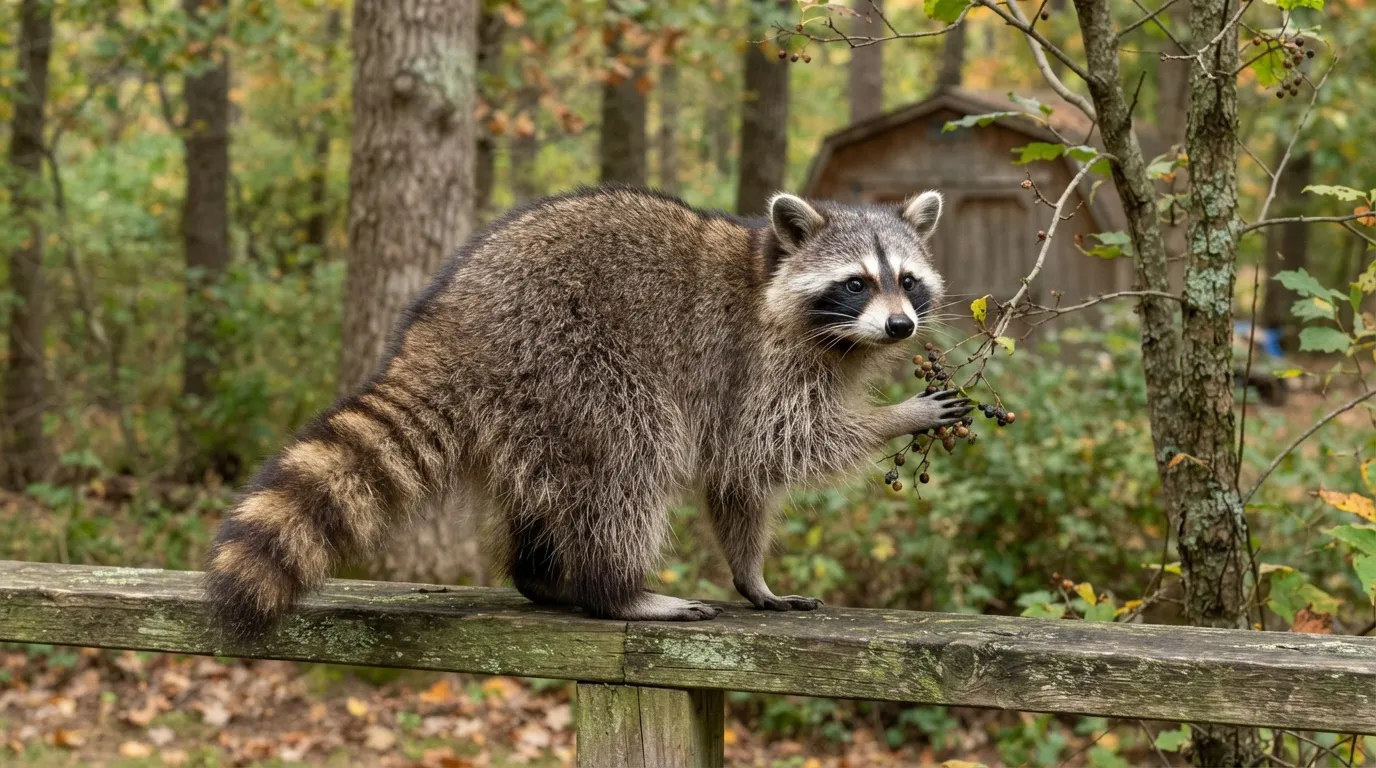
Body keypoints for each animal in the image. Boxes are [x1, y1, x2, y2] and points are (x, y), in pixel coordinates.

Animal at [205, 185, 970, 637]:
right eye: (856, 284)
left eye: (907, 281)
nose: (900, 326)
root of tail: (444, 325)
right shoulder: (753, 362)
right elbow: (778, 444)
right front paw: (894, 417)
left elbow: (738, 482)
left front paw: (753, 577)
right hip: (567, 358)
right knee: (629, 458)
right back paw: (615, 588)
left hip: (531, 402)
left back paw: (542, 574)